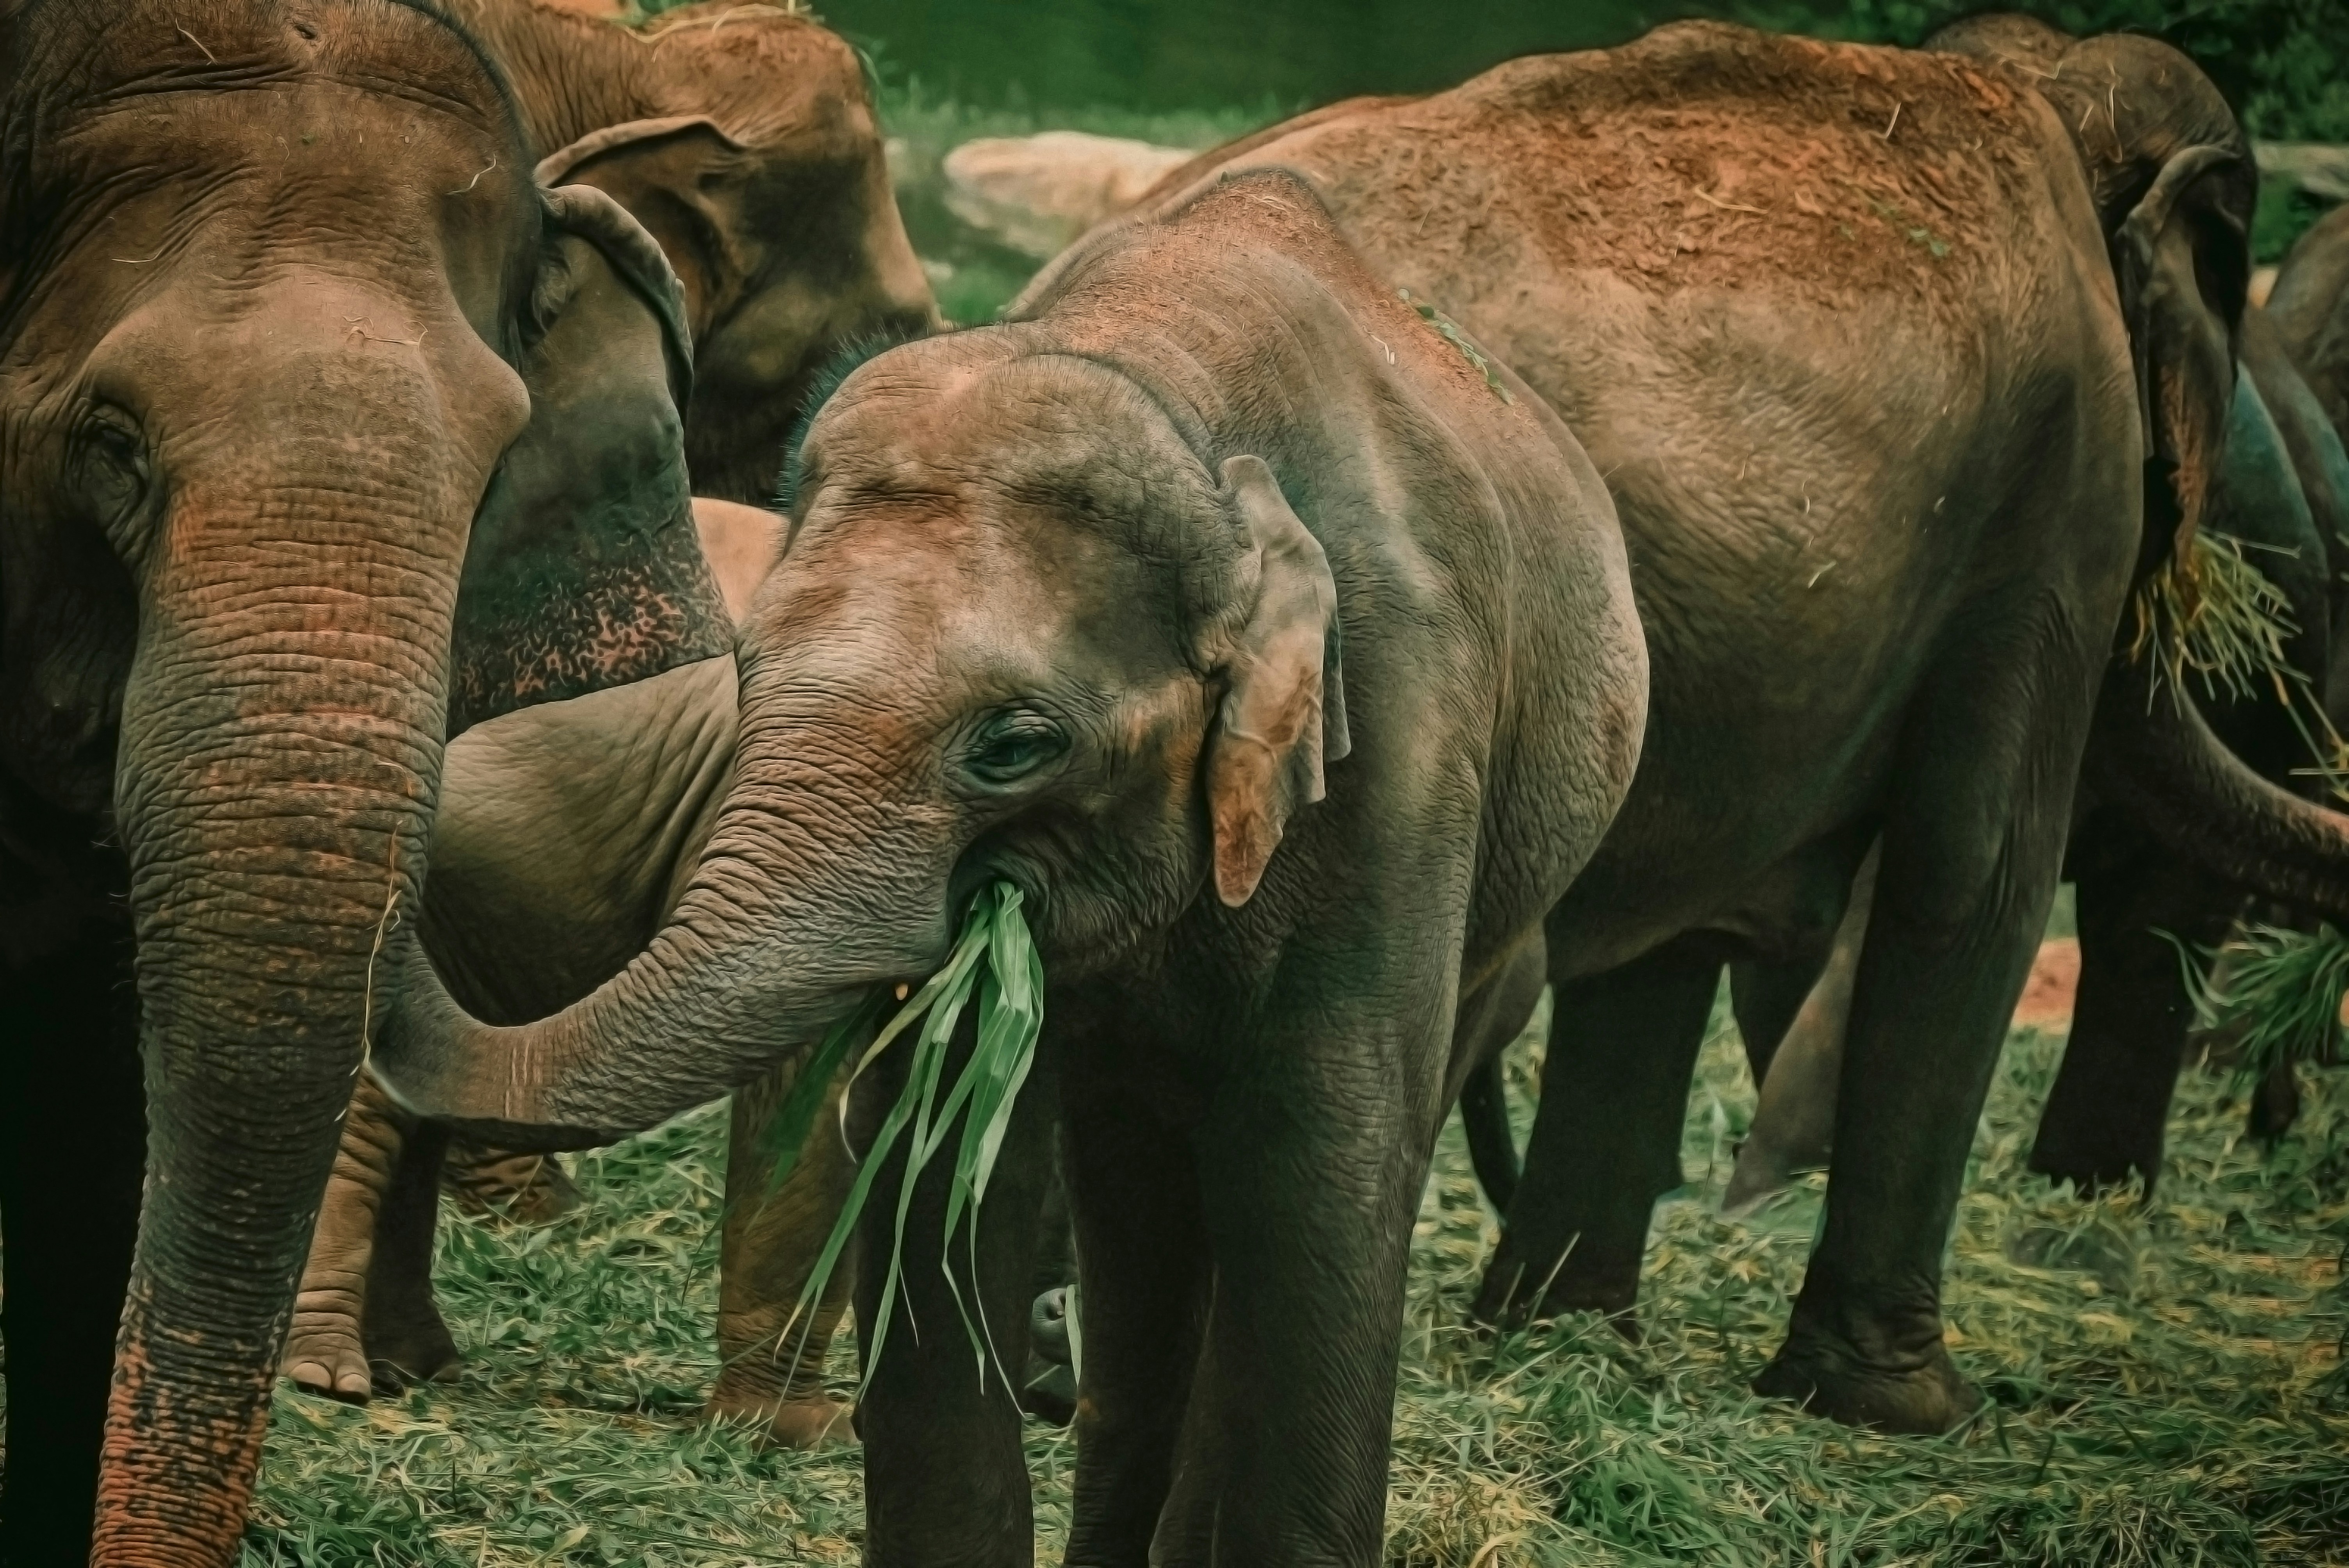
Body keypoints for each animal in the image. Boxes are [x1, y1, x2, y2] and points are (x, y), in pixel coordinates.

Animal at [374, 167, 1651, 1565]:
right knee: (1140, 1207)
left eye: (1014, 745)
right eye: (748, 673)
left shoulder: (1403, 749)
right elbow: (933, 1161)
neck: (1171, 390)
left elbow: (1324, 1162)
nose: (568, 200)